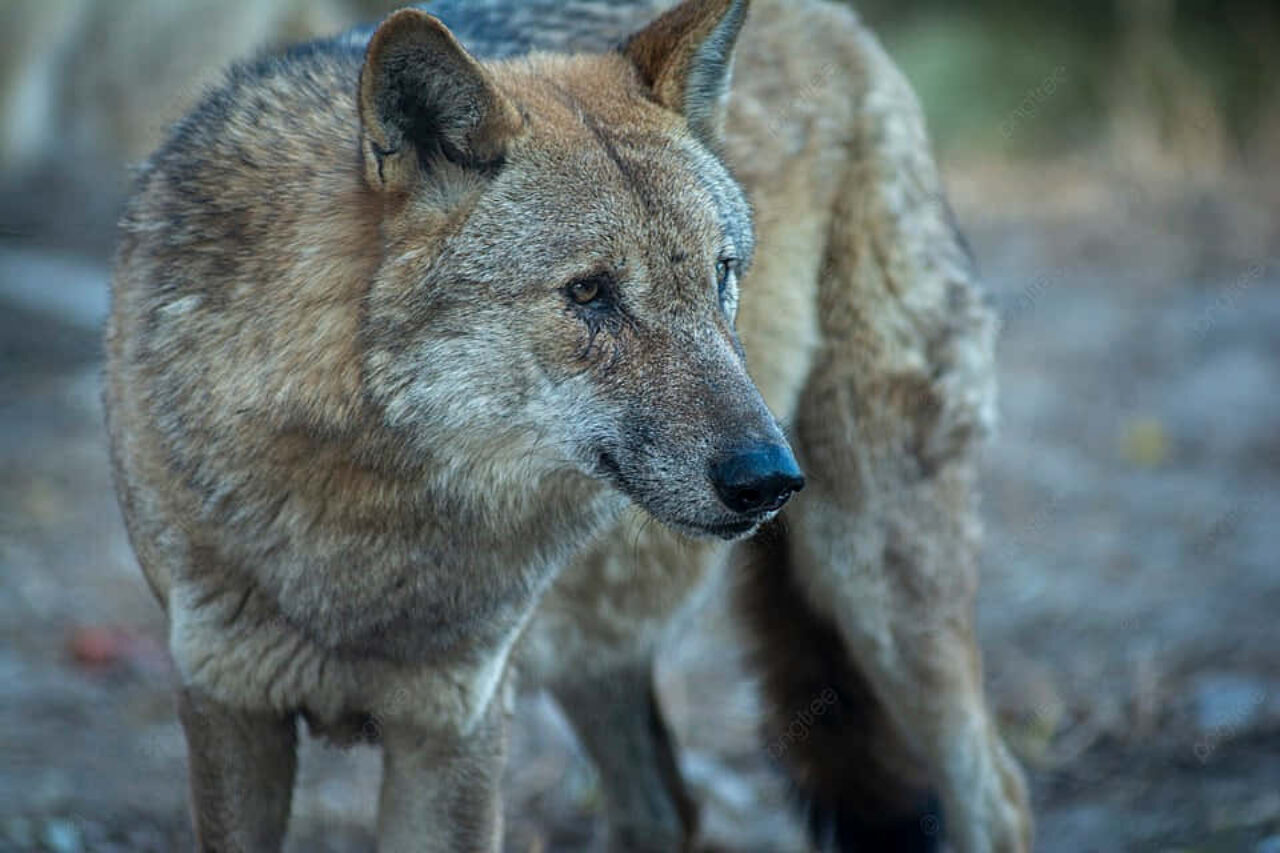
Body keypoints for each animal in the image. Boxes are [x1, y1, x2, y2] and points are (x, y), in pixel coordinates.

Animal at [104, 1, 1031, 852]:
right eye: (589, 292)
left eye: (720, 274)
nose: (769, 479)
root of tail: (844, 23)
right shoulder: (225, 705)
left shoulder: (459, 730)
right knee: (667, 806)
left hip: (877, 582)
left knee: (1000, 791)